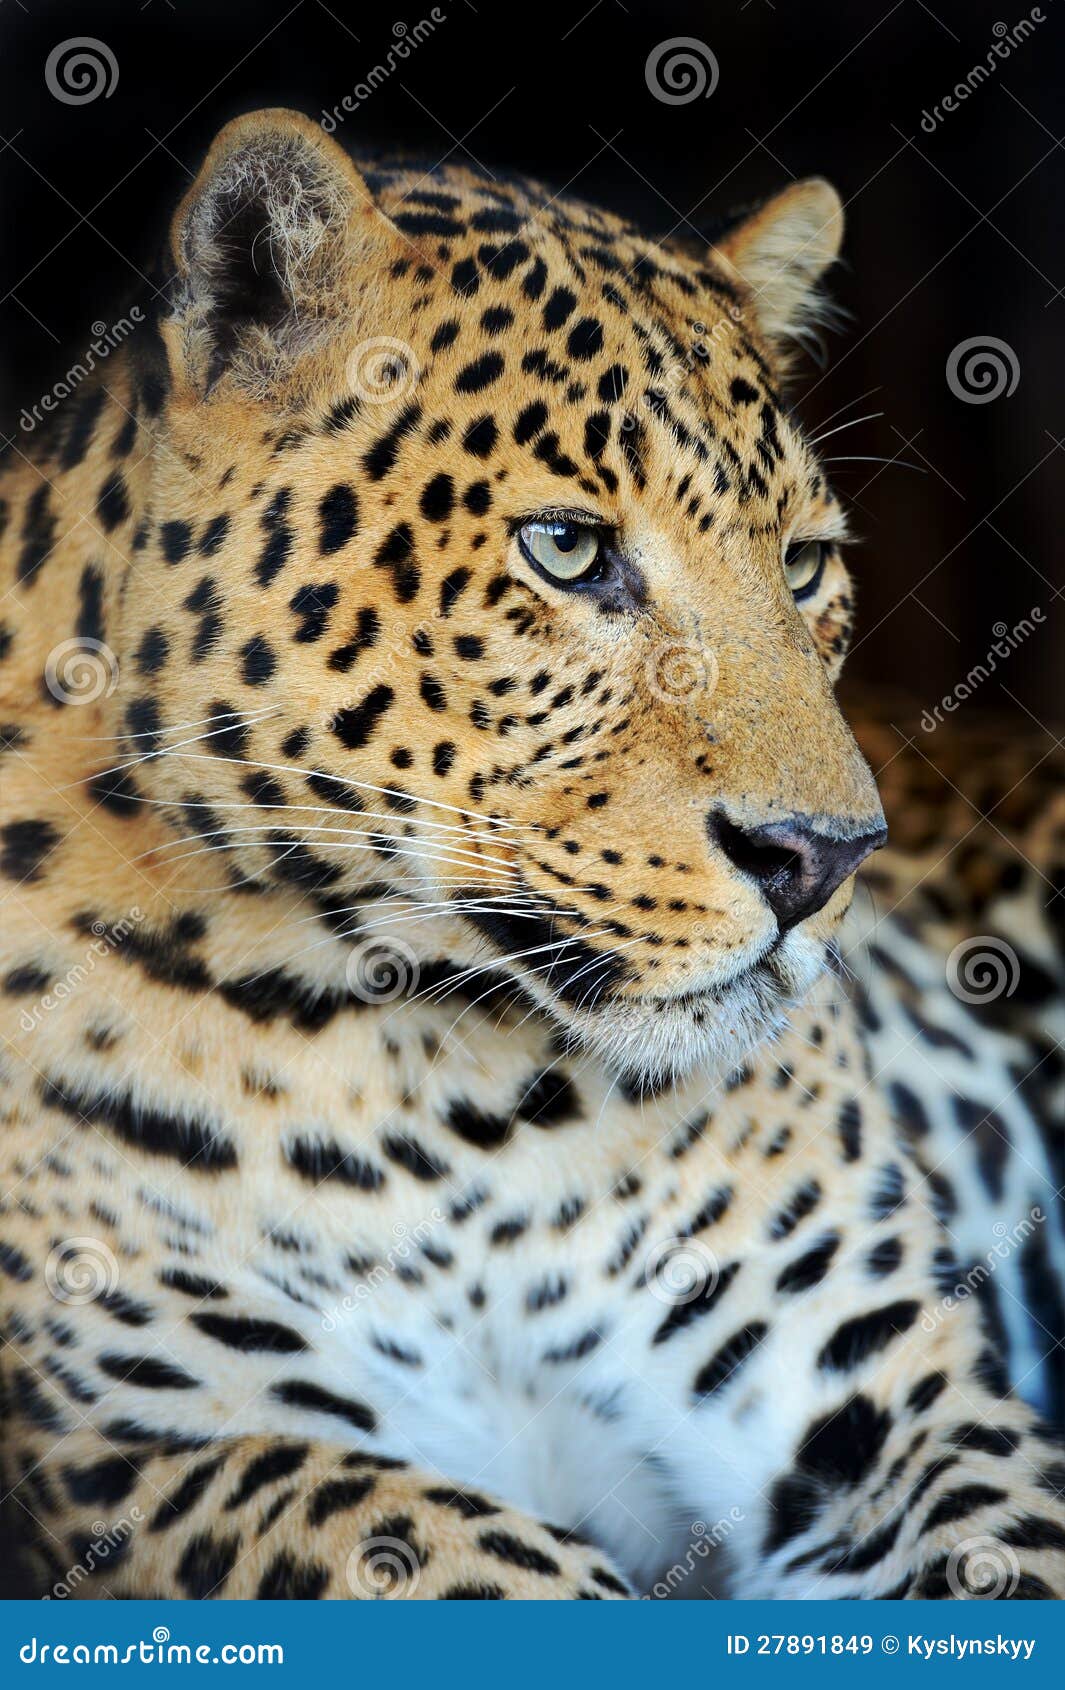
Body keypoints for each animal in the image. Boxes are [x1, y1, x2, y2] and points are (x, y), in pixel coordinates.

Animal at [1, 107, 1063, 1601]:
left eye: (802, 566)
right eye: (566, 548)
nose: (824, 858)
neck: (438, 1083)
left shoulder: (887, 1394)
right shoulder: (159, 1444)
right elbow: (470, 1552)